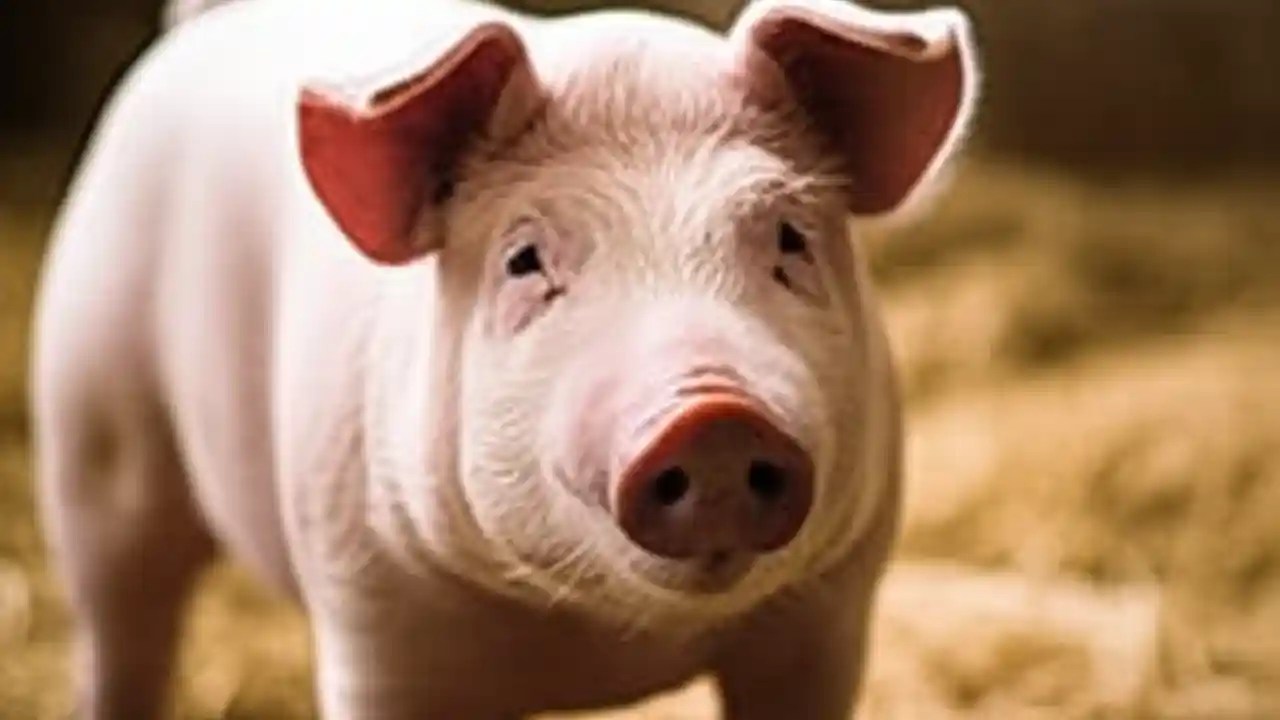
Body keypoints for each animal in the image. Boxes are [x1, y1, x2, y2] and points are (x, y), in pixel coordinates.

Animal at [29, 0, 979, 717]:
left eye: (788, 239)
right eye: (525, 261)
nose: (713, 415)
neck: (599, 644)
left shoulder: (829, 617)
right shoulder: (370, 615)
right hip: (91, 422)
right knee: (123, 620)